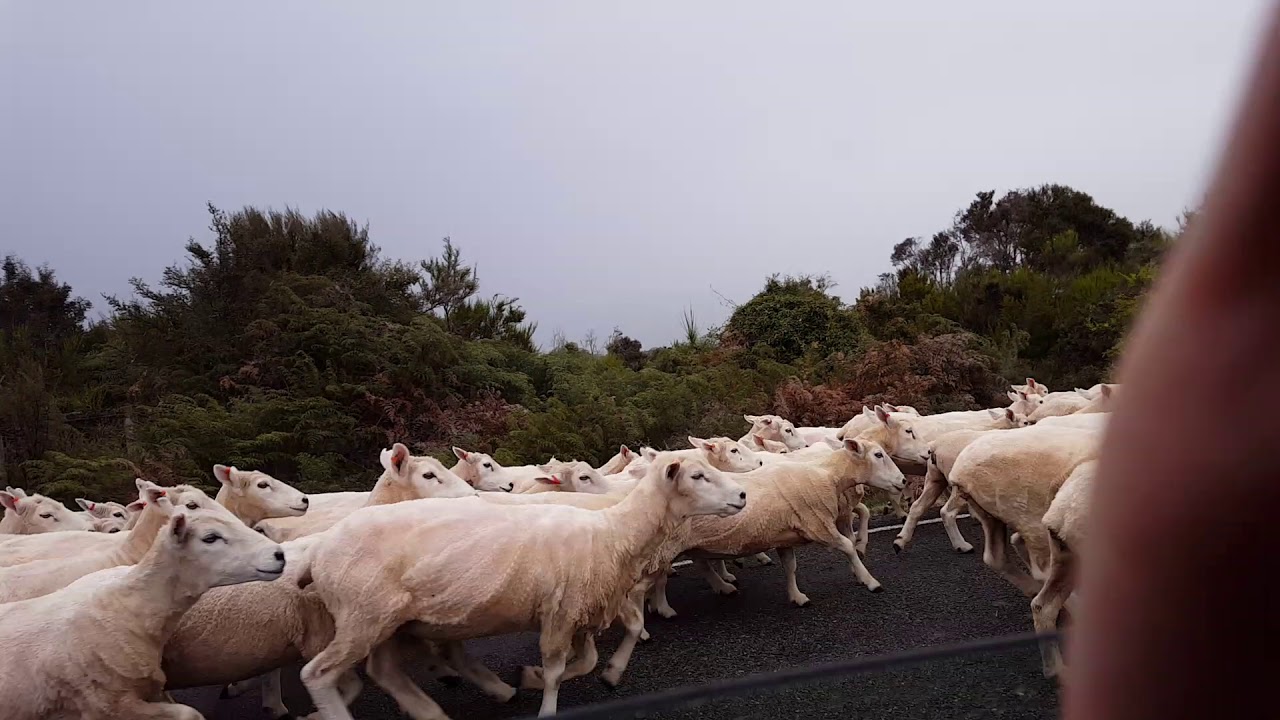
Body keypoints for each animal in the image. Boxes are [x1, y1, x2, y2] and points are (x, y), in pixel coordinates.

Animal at [295, 452, 747, 718]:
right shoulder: (560, 612)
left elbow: (589, 659)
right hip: (363, 615)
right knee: (318, 674)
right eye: (698, 476)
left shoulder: (578, 608)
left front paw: (600, 674)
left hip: (385, 621)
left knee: (385, 671)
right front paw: (546, 705)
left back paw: (438, 709)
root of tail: (320, 547)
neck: (613, 531)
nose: (743, 495)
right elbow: (558, 669)